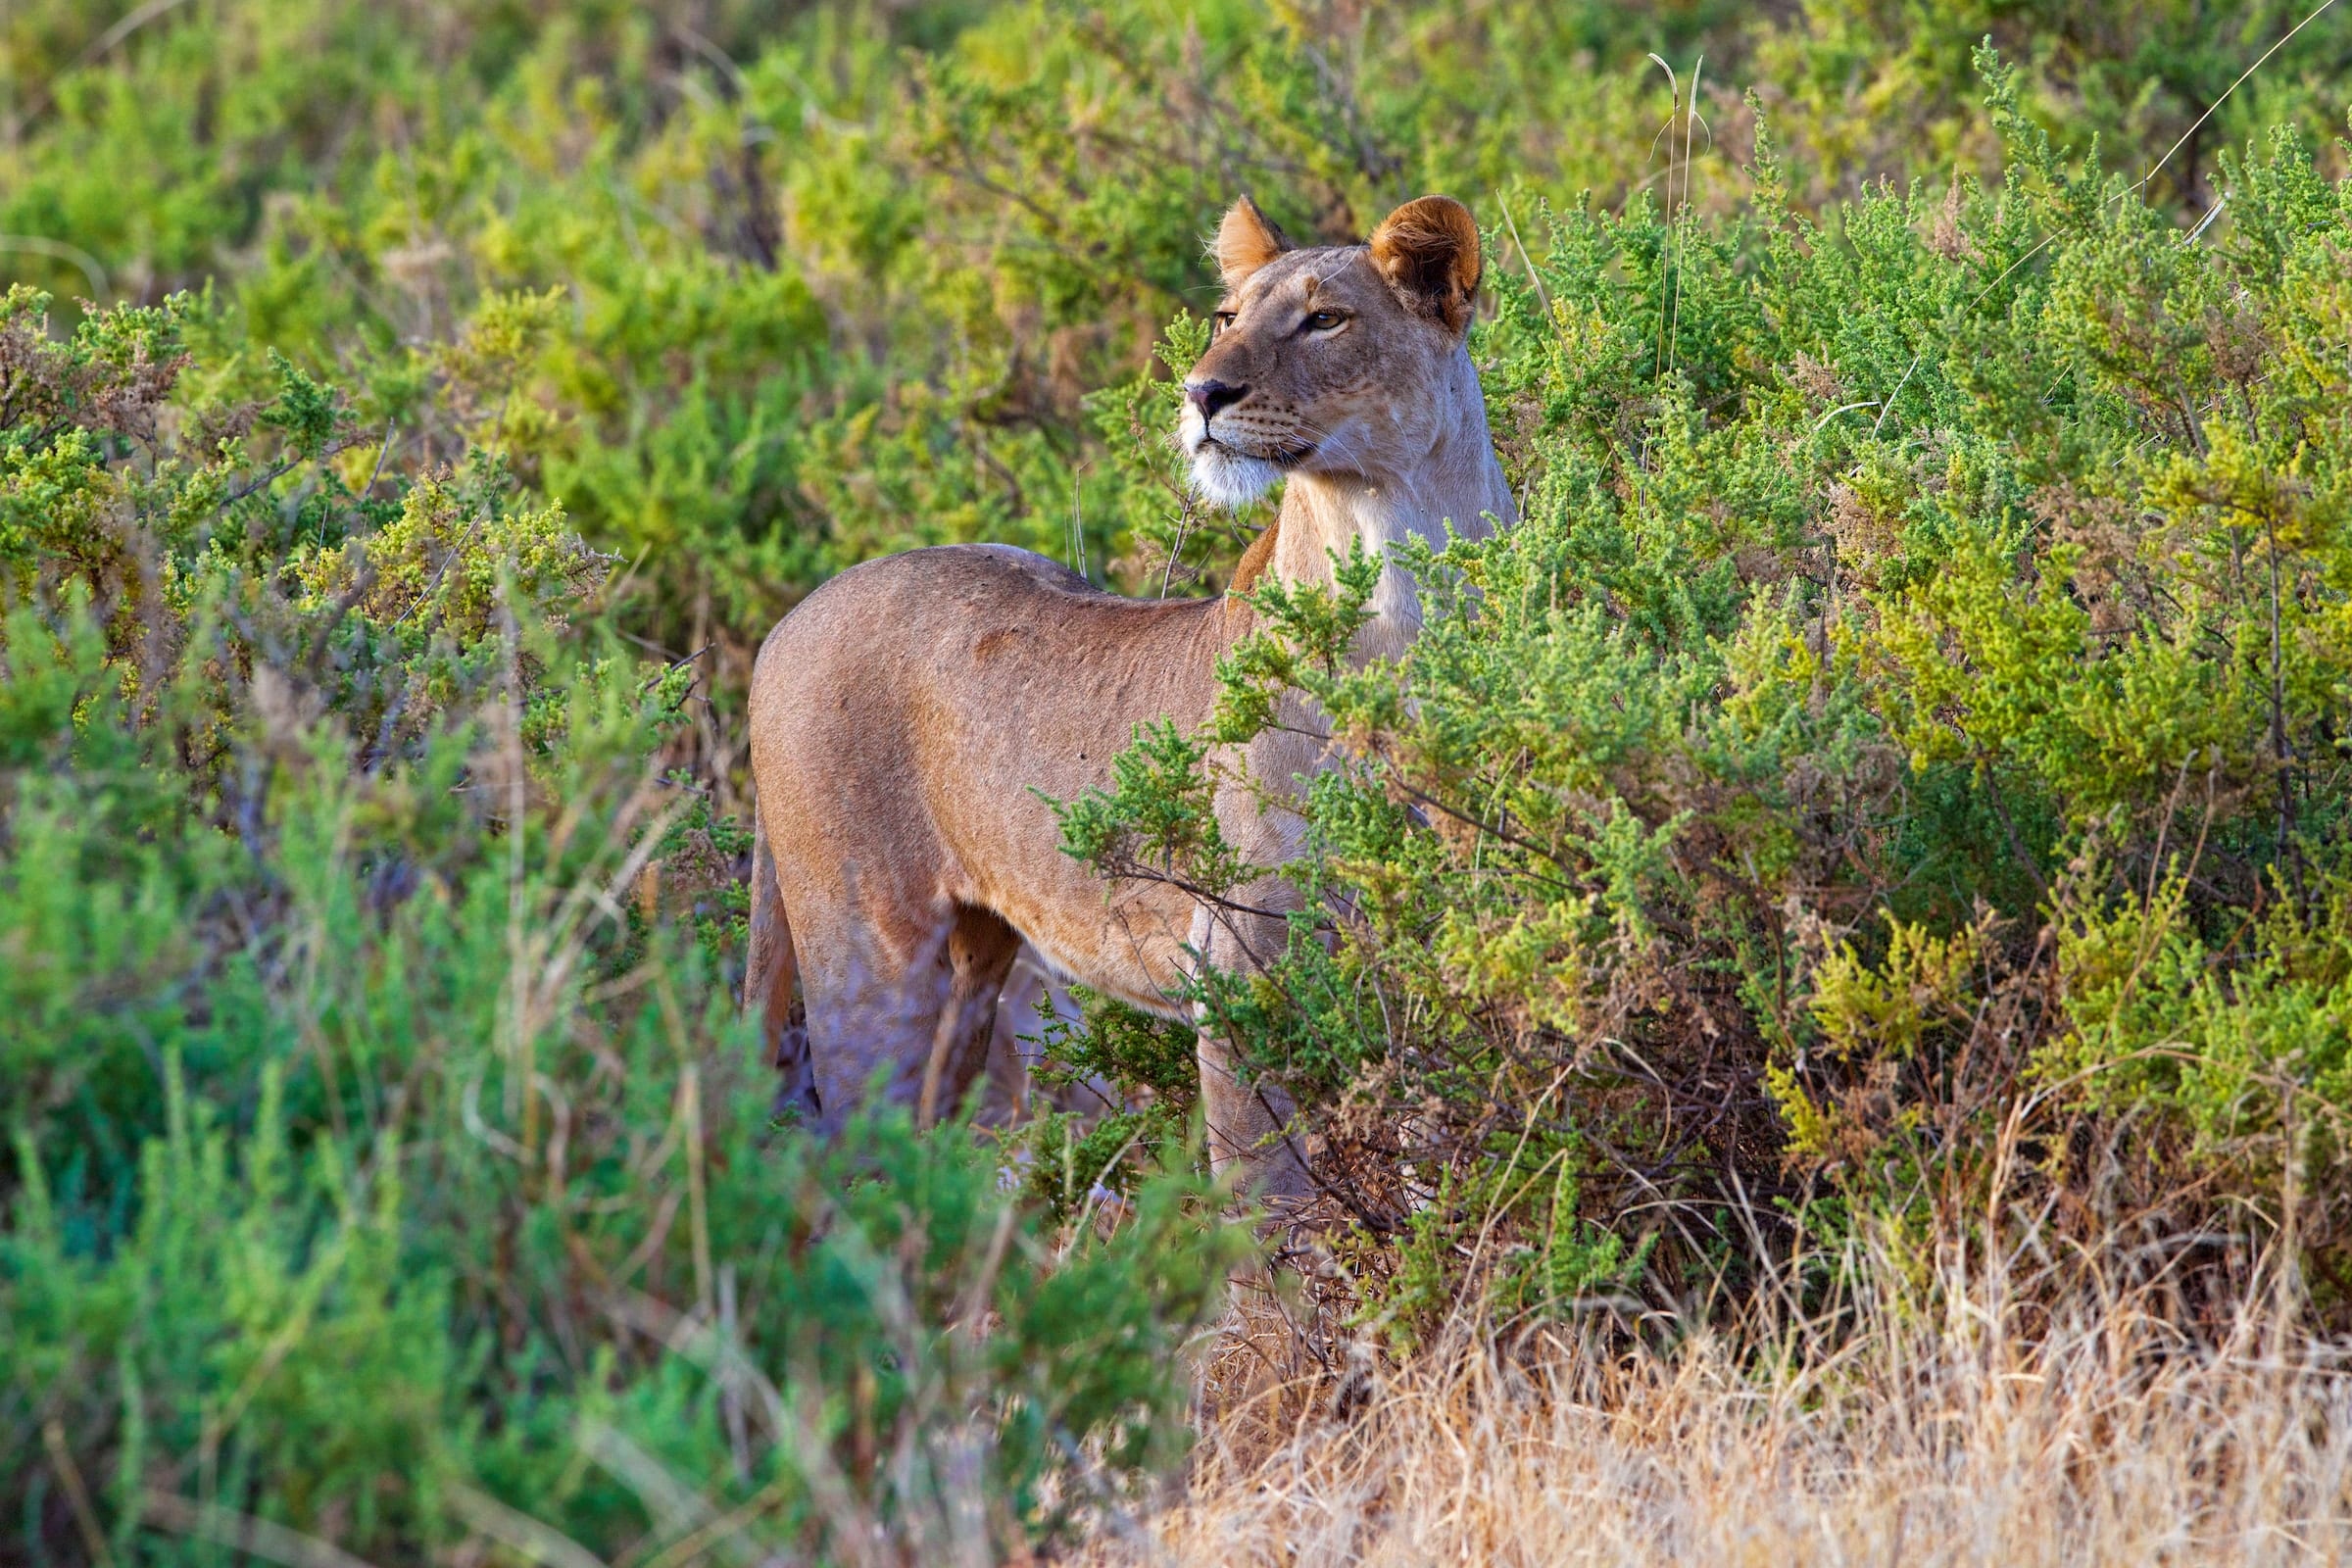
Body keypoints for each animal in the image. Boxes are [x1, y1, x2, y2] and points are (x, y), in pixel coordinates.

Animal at [743, 193, 1514, 1196]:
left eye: (1324, 319)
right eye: (1227, 319)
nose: (1200, 394)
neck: (1391, 568)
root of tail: (783, 624)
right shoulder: (1239, 966)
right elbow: (1271, 1201)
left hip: (972, 964)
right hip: (865, 955)